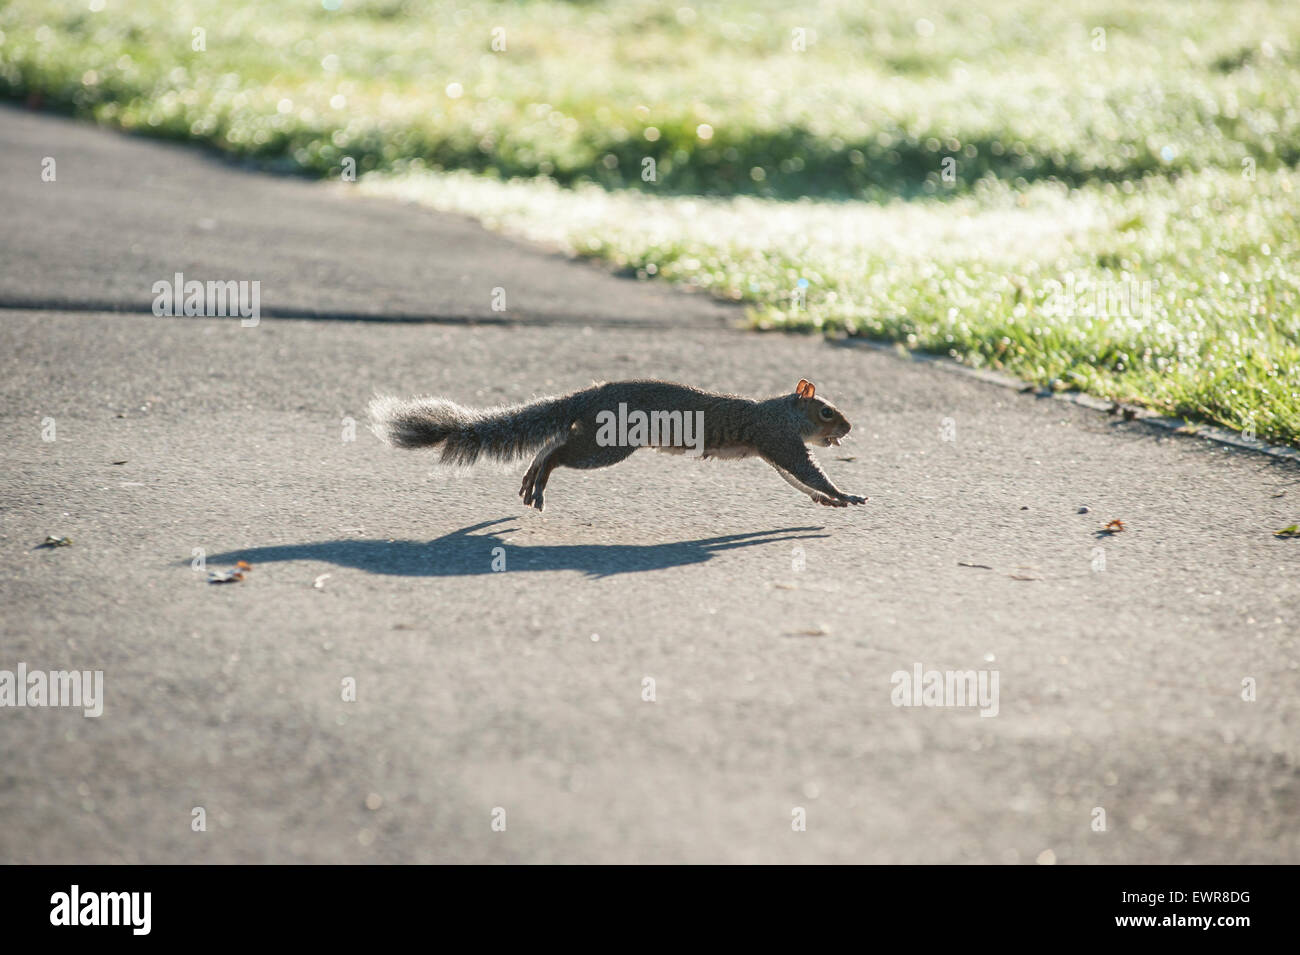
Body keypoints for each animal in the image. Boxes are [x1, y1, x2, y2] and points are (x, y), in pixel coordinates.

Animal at [369, 378, 868, 511]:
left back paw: (530, 480)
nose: (847, 427)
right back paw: (538, 484)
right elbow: (807, 471)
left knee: (551, 442)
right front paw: (844, 494)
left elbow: (796, 480)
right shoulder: (778, 439)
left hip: (594, 435)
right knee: (558, 451)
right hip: (605, 445)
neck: (780, 411)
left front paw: (828, 502)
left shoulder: (775, 450)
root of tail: (587, 394)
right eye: (827, 411)